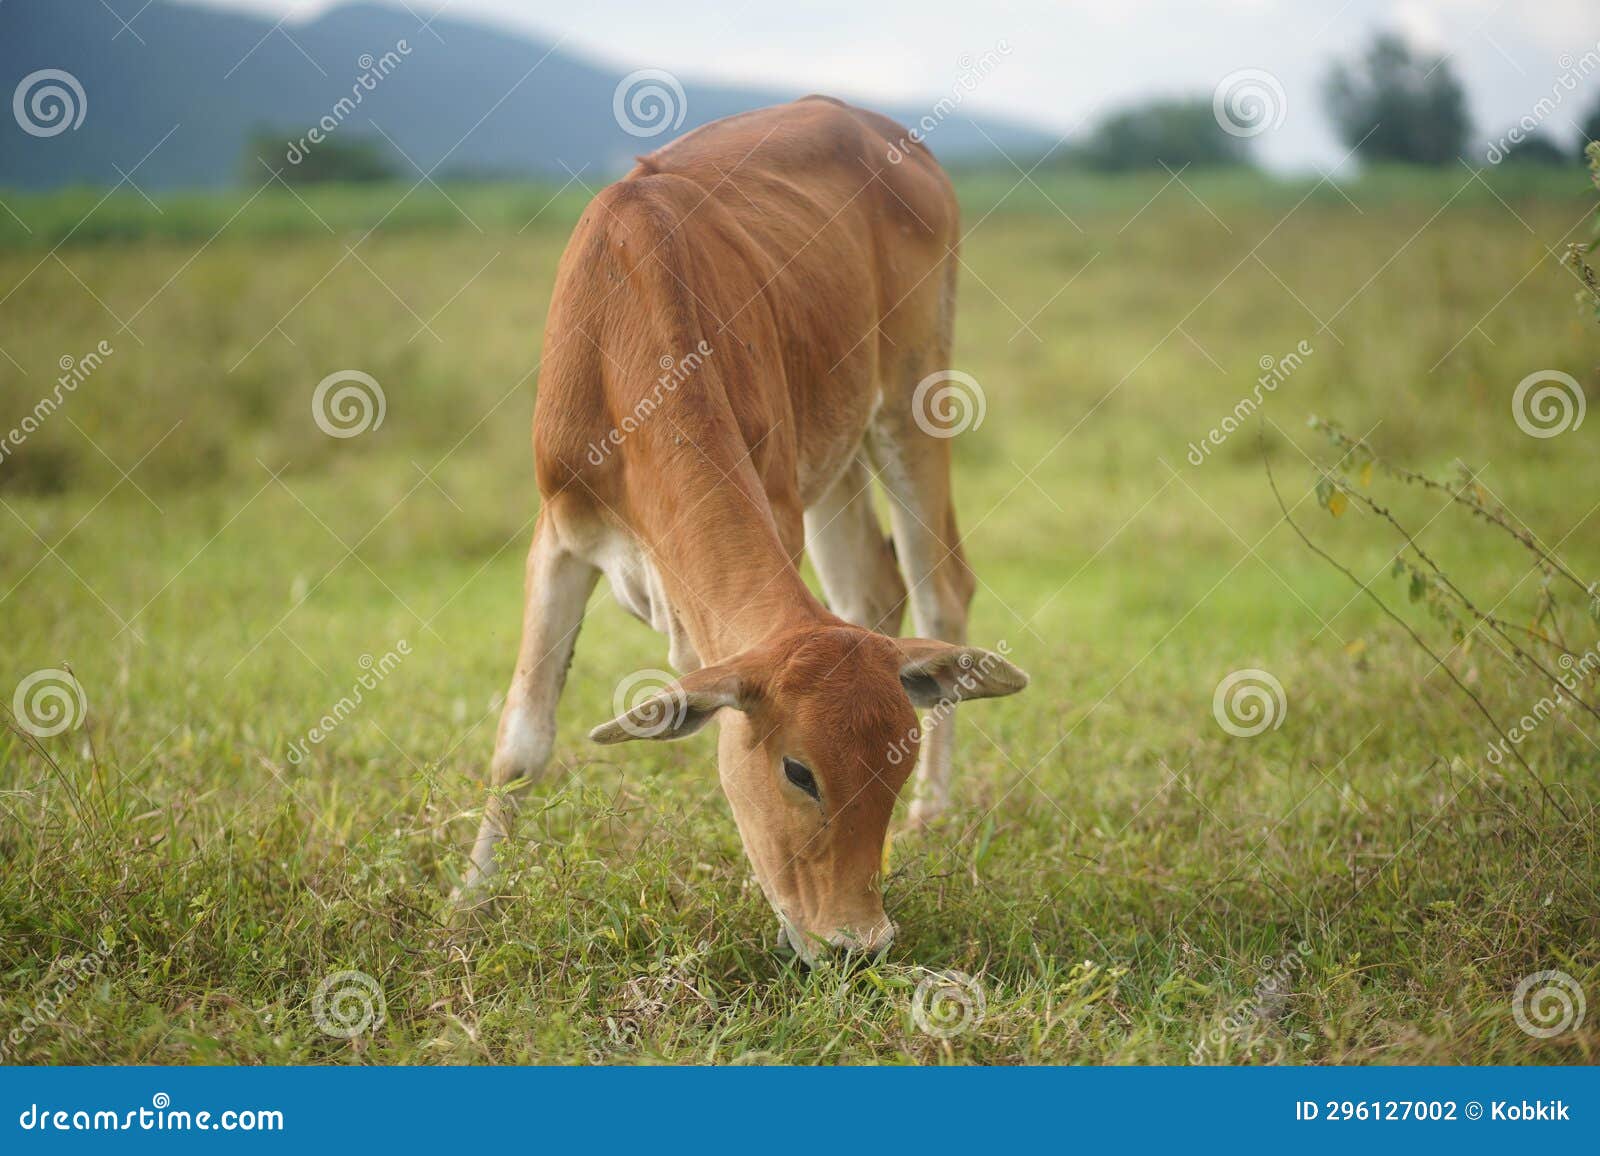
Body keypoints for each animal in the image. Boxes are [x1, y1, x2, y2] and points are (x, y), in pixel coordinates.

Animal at [458, 96, 1028, 963]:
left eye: (893, 768)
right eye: (800, 772)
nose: (859, 943)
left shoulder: (776, 504)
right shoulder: (560, 532)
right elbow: (522, 739)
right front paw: (468, 905)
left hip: (913, 398)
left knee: (943, 588)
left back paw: (933, 818)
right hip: (840, 456)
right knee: (874, 587)